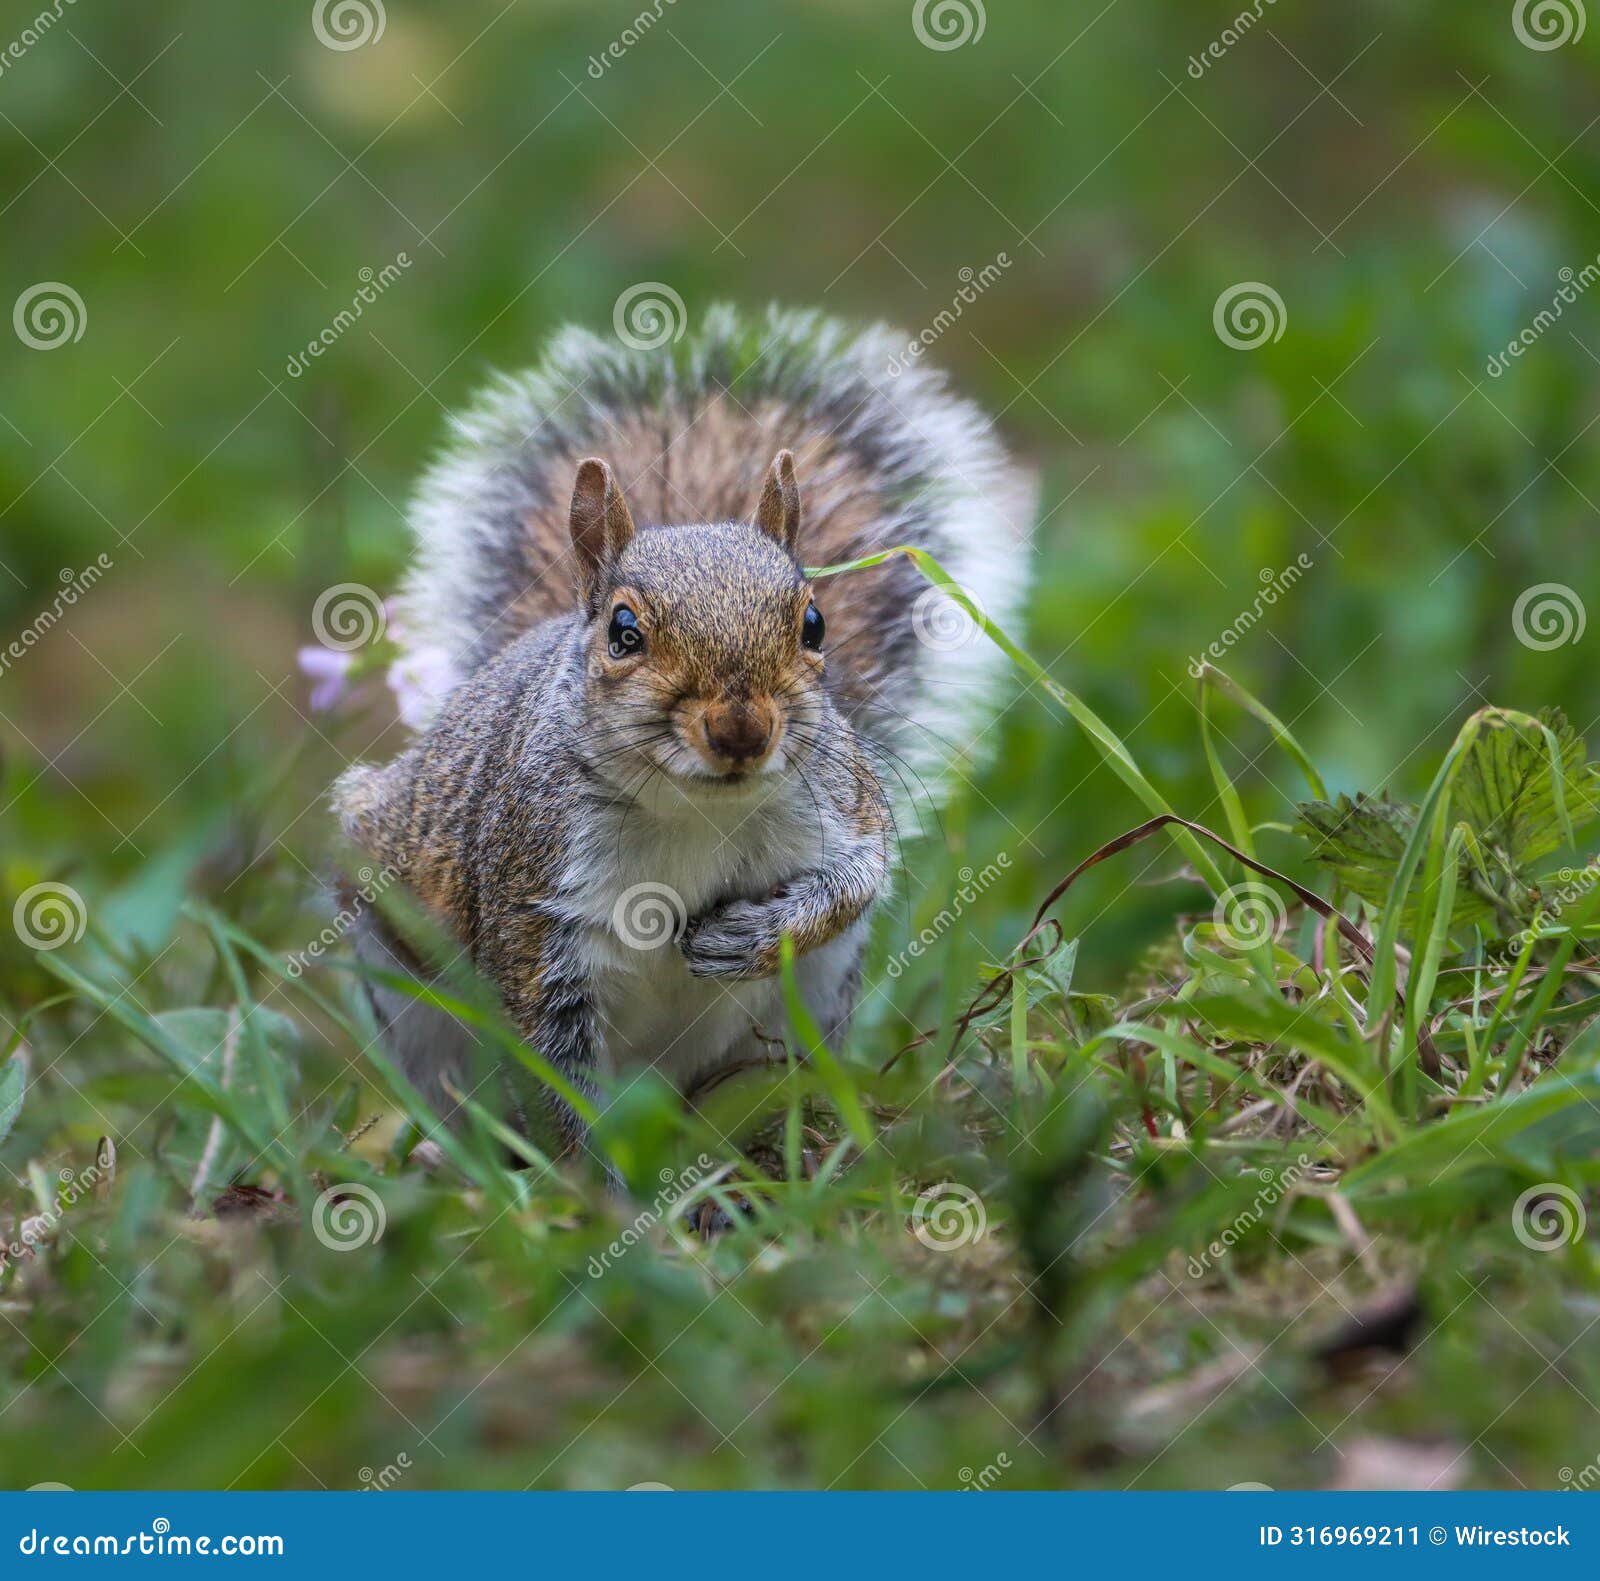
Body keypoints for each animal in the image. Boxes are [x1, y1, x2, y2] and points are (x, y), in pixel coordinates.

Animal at [332, 304, 1034, 1164]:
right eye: (623, 632)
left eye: (814, 622)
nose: (741, 728)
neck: (698, 808)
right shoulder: (534, 908)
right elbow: (555, 1084)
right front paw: (590, 1187)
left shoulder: (844, 803)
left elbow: (857, 878)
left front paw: (756, 934)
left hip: (801, 1012)